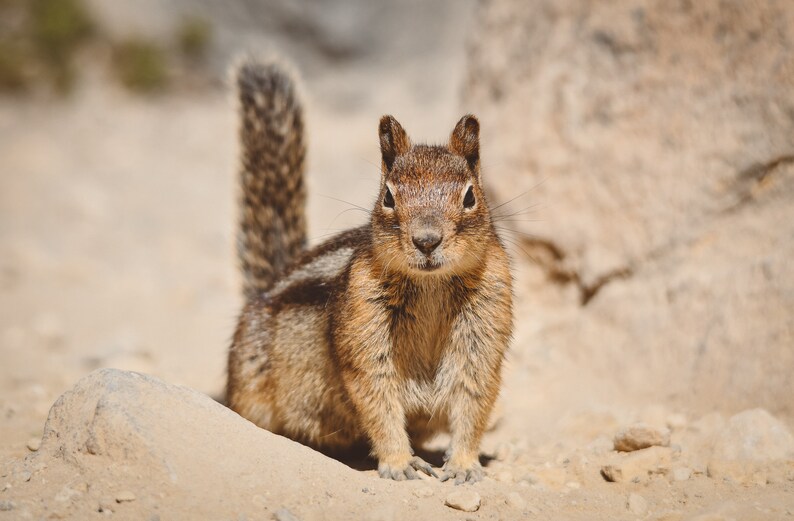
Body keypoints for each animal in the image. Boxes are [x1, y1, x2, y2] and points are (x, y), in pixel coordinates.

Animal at [226, 58, 513, 484]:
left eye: (470, 196)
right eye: (388, 196)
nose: (426, 240)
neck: (430, 285)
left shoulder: (484, 332)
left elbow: (473, 402)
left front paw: (463, 465)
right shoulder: (363, 328)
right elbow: (378, 403)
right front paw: (399, 463)